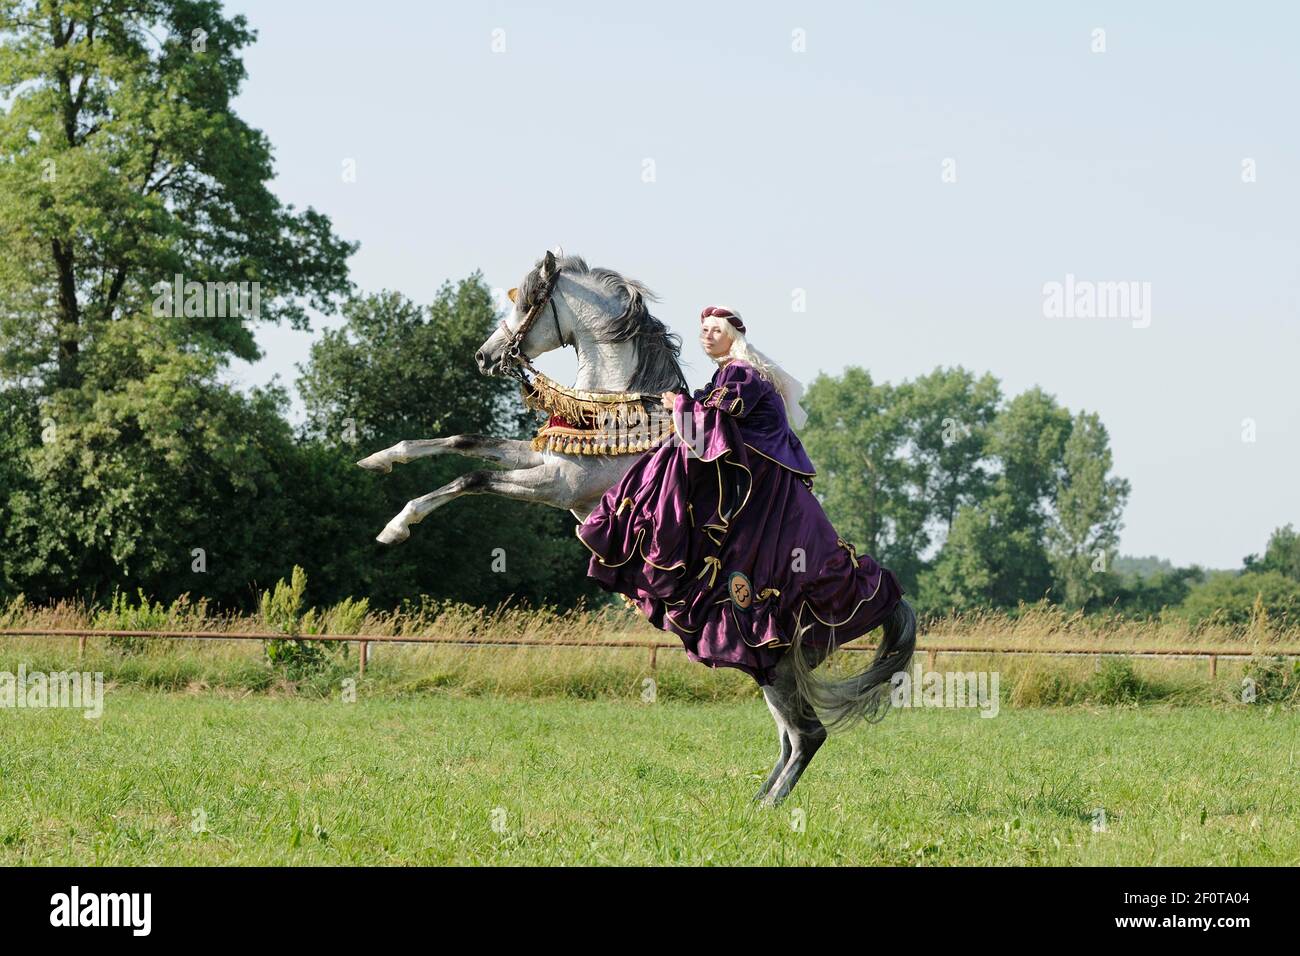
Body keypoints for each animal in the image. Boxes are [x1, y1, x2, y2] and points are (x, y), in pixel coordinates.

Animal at [356, 250, 916, 806]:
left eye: (525, 302)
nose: (484, 356)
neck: (619, 407)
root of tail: (884, 594)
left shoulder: (559, 484)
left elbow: (471, 476)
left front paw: (397, 525)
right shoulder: (545, 458)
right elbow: (463, 441)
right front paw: (380, 460)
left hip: (776, 663)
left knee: (807, 734)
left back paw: (765, 810)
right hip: (772, 667)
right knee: (790, 735)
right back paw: (753, 803)